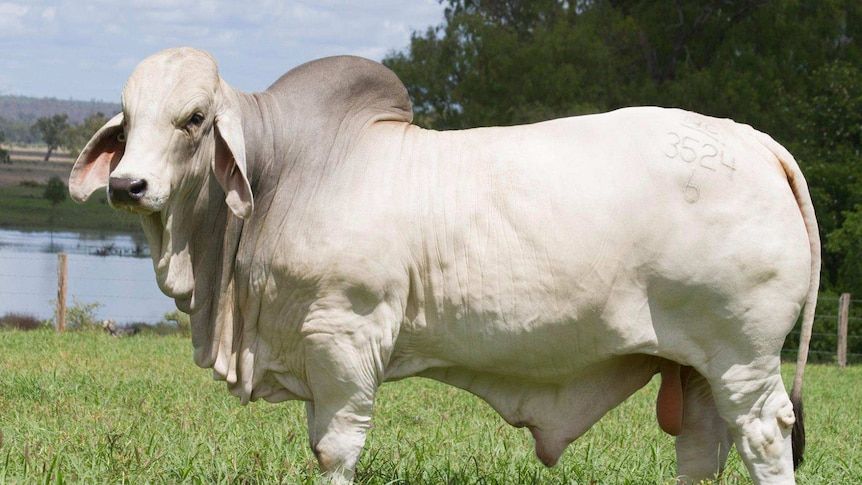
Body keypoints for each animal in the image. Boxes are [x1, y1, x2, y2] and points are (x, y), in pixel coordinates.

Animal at [69, 47, 819, 484]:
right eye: (127, 120)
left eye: (194, 118)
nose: (128, 184)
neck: (287, 173)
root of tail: (757, 142)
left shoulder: (346, 335)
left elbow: (335, 448)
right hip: (697, 368)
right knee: (701, 449)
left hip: (743, 357)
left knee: (764, 437)